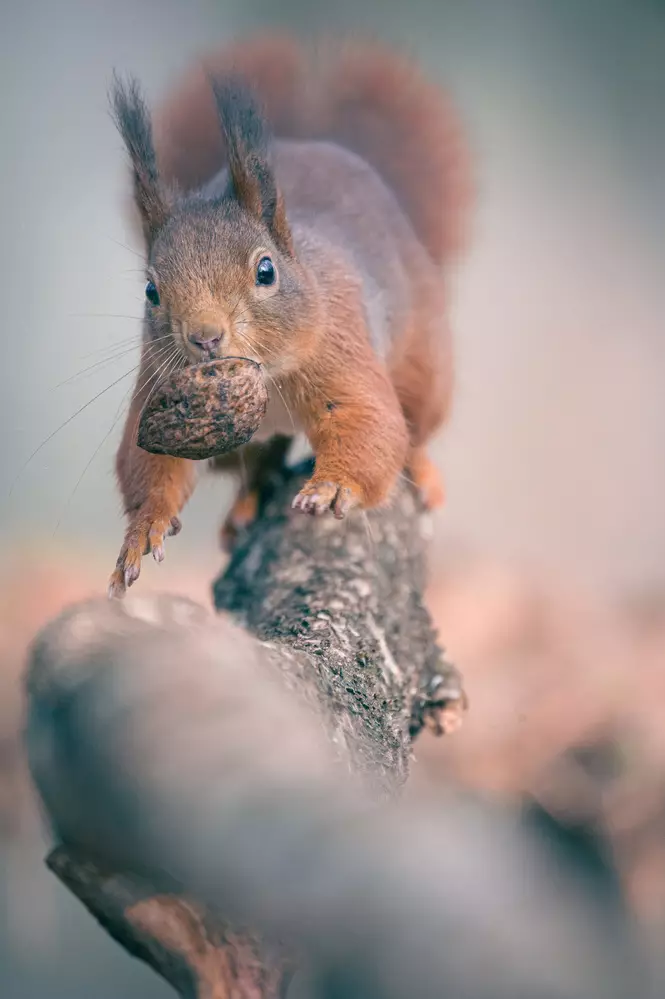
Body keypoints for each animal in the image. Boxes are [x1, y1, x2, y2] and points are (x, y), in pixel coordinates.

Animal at [107, 35, 472, 596]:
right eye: (151, 290)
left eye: (266, 271)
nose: (205, 338)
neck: (268, 378)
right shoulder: (159, 385)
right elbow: (148, 460)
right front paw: (143, 526)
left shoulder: (340, 342)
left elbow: (371, 422)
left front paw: (332, 488)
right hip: (232, 446)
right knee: (256, 465)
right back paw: (244, 507)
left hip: (424, 365)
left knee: (415, 427)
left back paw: (424, 471)